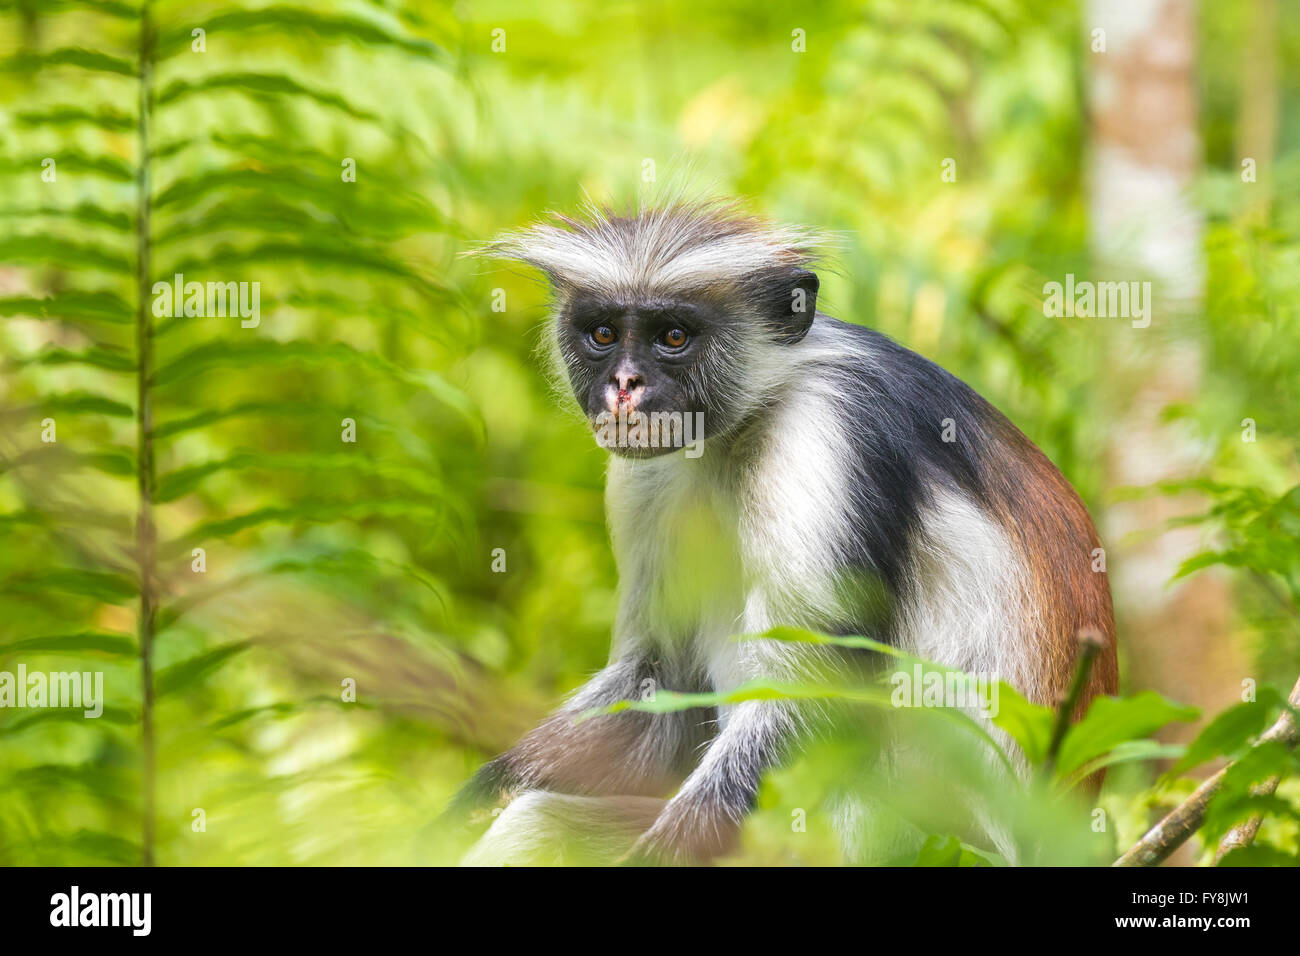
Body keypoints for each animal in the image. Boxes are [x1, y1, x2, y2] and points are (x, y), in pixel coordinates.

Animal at [443, 197, 1117, 866]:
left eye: (673, 337)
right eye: (603, 334)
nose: (623, 387)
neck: (742, 424)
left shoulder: (827, 431)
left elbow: (817, 694)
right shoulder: (648, 474)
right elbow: (664, 686)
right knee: (536, 823)